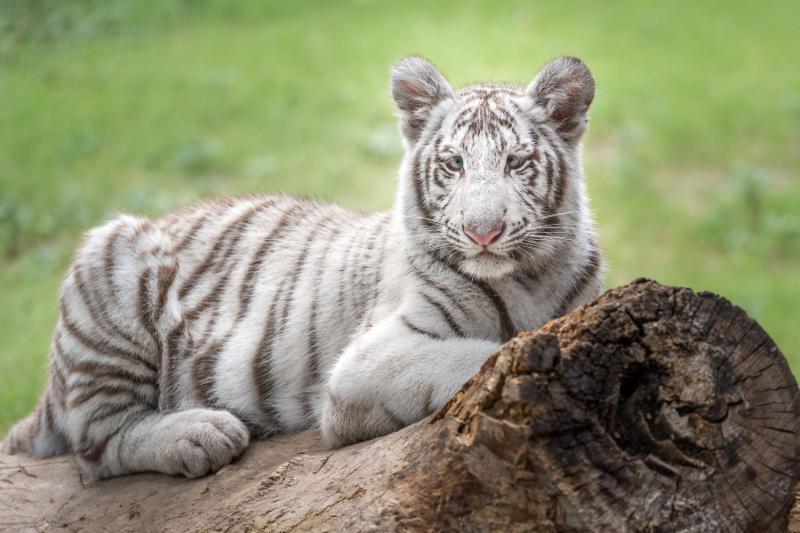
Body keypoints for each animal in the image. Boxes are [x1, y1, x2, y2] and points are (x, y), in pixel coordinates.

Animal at [1, 56, 603, 480]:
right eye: (454, 163)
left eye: (515, 162)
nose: (483, 232)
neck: (527, 277)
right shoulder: (365, 361)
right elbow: (483, 352)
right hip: (114, 254)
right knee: (95, 448)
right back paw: (201, 435)